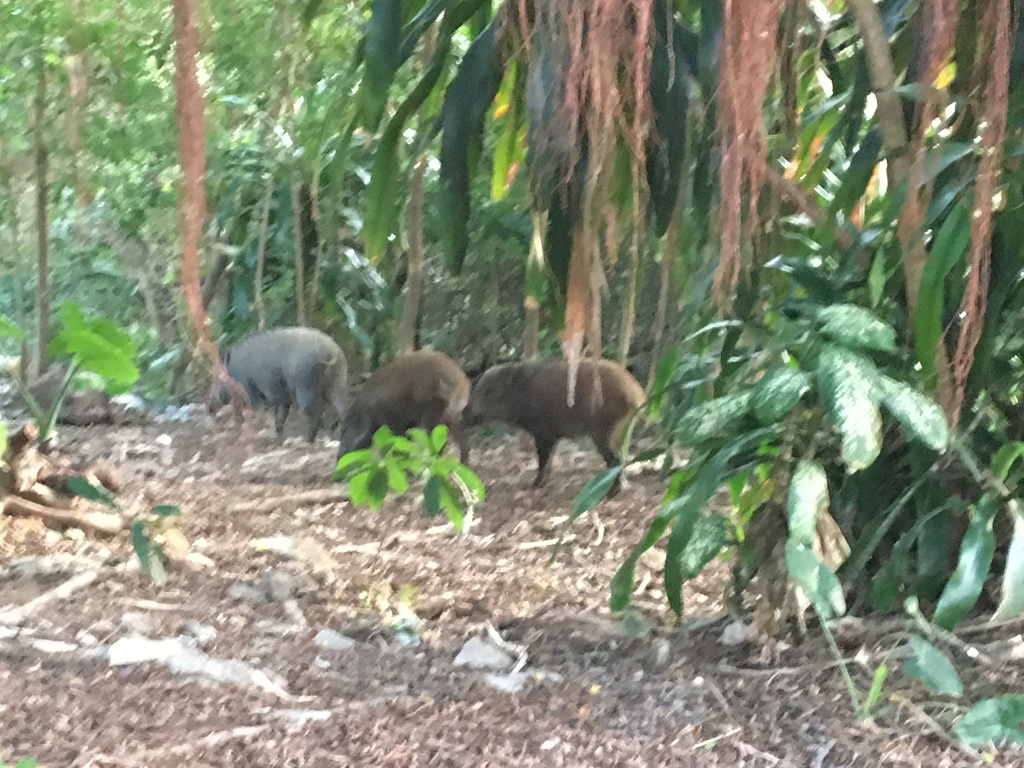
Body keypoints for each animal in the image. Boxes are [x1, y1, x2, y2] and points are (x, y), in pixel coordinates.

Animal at [210, 326, 348, 442]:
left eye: (216, 380)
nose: (210, 407)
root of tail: (331, 353)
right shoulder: (281, 394)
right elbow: (281, 413)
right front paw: (277, 435)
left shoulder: (252, 389)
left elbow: (260, 410)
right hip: (338, 381)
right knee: (343, 408)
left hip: (305, 389)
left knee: (316, 417)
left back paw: (308, 440)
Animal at [336, 350, 471, 461]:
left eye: (344, 431)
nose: (338, 458)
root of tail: (462, 383)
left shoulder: (393, 419)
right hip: (451, 415)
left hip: (434, 409)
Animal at [463, 358, 646, 495]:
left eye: (488, 391)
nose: (463, 413)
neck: (521, 394)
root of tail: (636, 394)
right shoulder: (553, 435)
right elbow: (549, 460)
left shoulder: (543, 433)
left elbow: (543, 459)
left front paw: (535, 485)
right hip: (621, 430)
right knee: (622, 456)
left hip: (602, 432)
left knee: (615, 459)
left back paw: (612, 492)